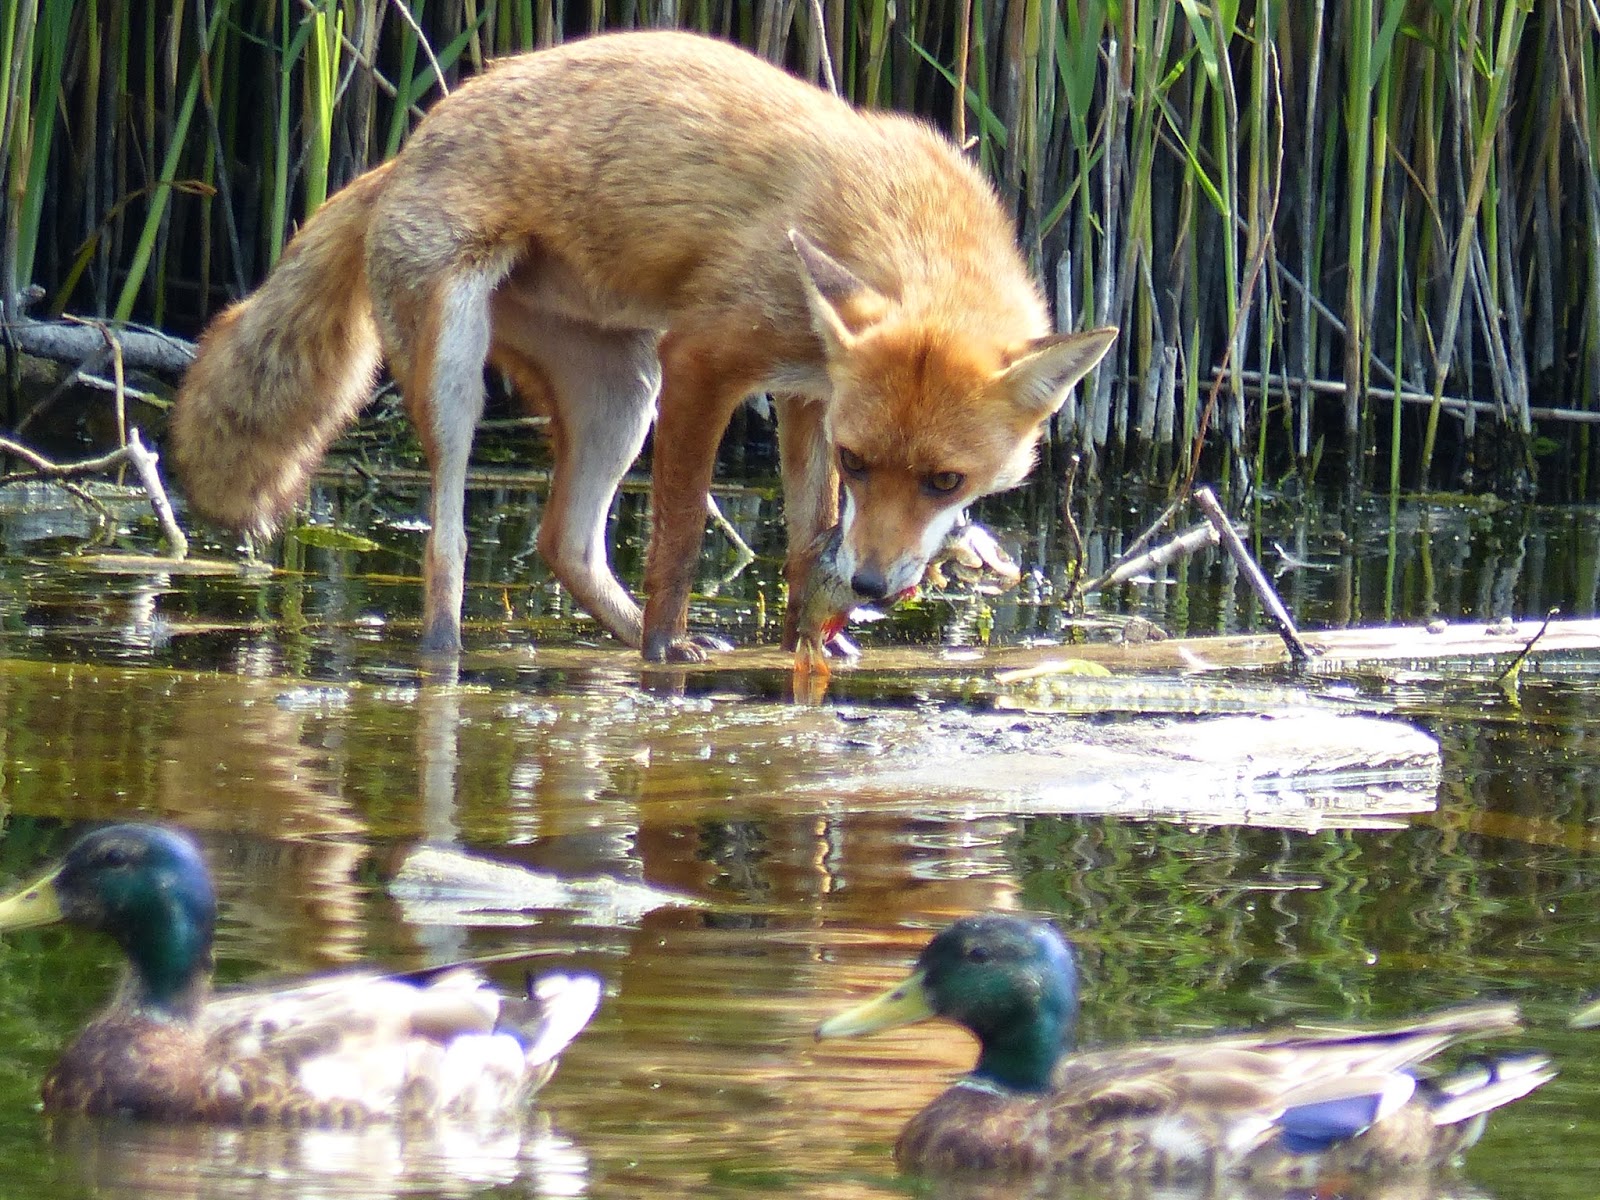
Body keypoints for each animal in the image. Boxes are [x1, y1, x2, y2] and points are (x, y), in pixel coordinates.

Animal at [169, 30, 1116, 663]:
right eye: (864, 464)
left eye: (944, 482)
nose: (877, 587)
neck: (891, 219)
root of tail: (400, 153)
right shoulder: (704, 358)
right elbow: (682, 536)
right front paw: (667, 651)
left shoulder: (806, 390)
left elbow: (806, 532)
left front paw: (811, 638)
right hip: (464, 380)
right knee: (451, 550)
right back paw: (457, 654)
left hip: (621, 395)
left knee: (565, 543)